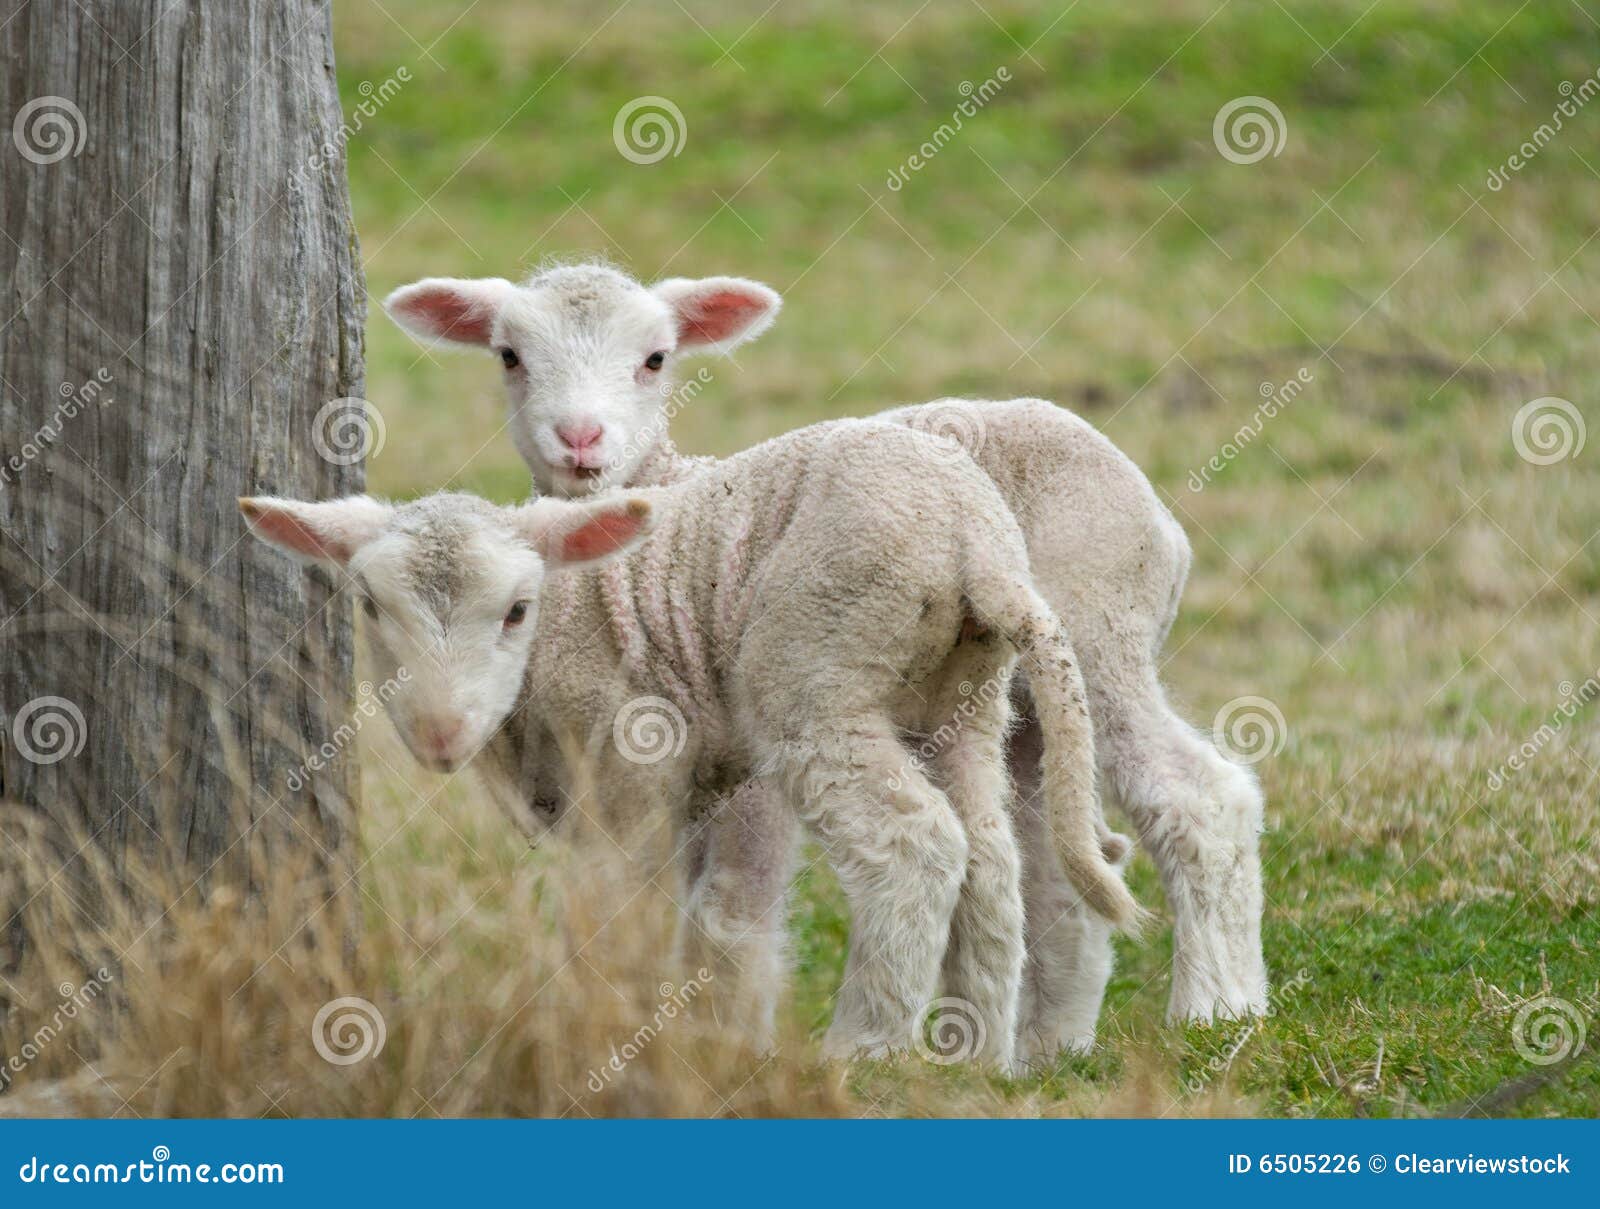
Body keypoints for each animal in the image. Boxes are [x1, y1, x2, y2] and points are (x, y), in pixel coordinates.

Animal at [240, 418, 1140, 1070]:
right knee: (989, 857)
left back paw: (863, 1052)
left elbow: (626, 907)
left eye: (517, 611)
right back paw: (970, 1057)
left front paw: (610, 1030)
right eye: (368, 605)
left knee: (915, 845)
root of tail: (976, 547)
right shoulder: (709, 776)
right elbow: (720, 921)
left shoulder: (629, 763)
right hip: (962, 701)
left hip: (820, 673)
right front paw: (709, 1037)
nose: (438, 732)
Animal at [384, 264, 1268, 1048]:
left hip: (1097, 634)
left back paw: (1213, 1009)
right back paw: (1047, 1046)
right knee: (1047, 864)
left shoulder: (736, 771)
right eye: (509, 355)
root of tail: (1154, 510)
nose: (579, 439)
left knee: (1198, 796)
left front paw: (728, 1041)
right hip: (1020, 705)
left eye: (656, 357)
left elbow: (729, 910)